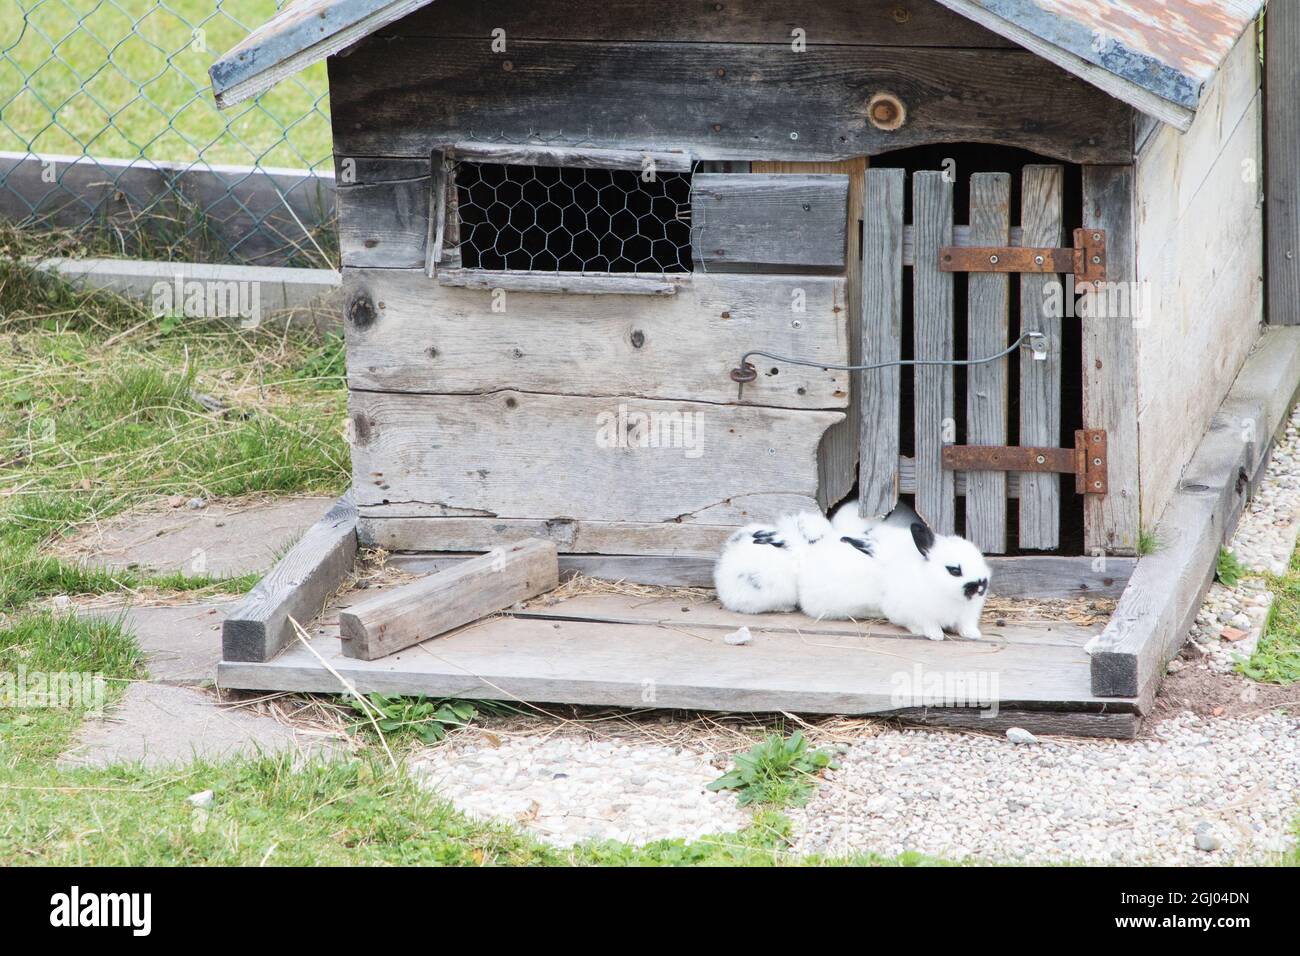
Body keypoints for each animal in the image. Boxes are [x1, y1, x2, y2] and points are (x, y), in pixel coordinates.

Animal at [799, 502, 992, 640]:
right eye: (954, 570)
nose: (981, 586)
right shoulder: (917, 614)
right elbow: (926, 625)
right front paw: (934, 635)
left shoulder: (966, 616)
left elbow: (965, 626)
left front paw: (973, 634)